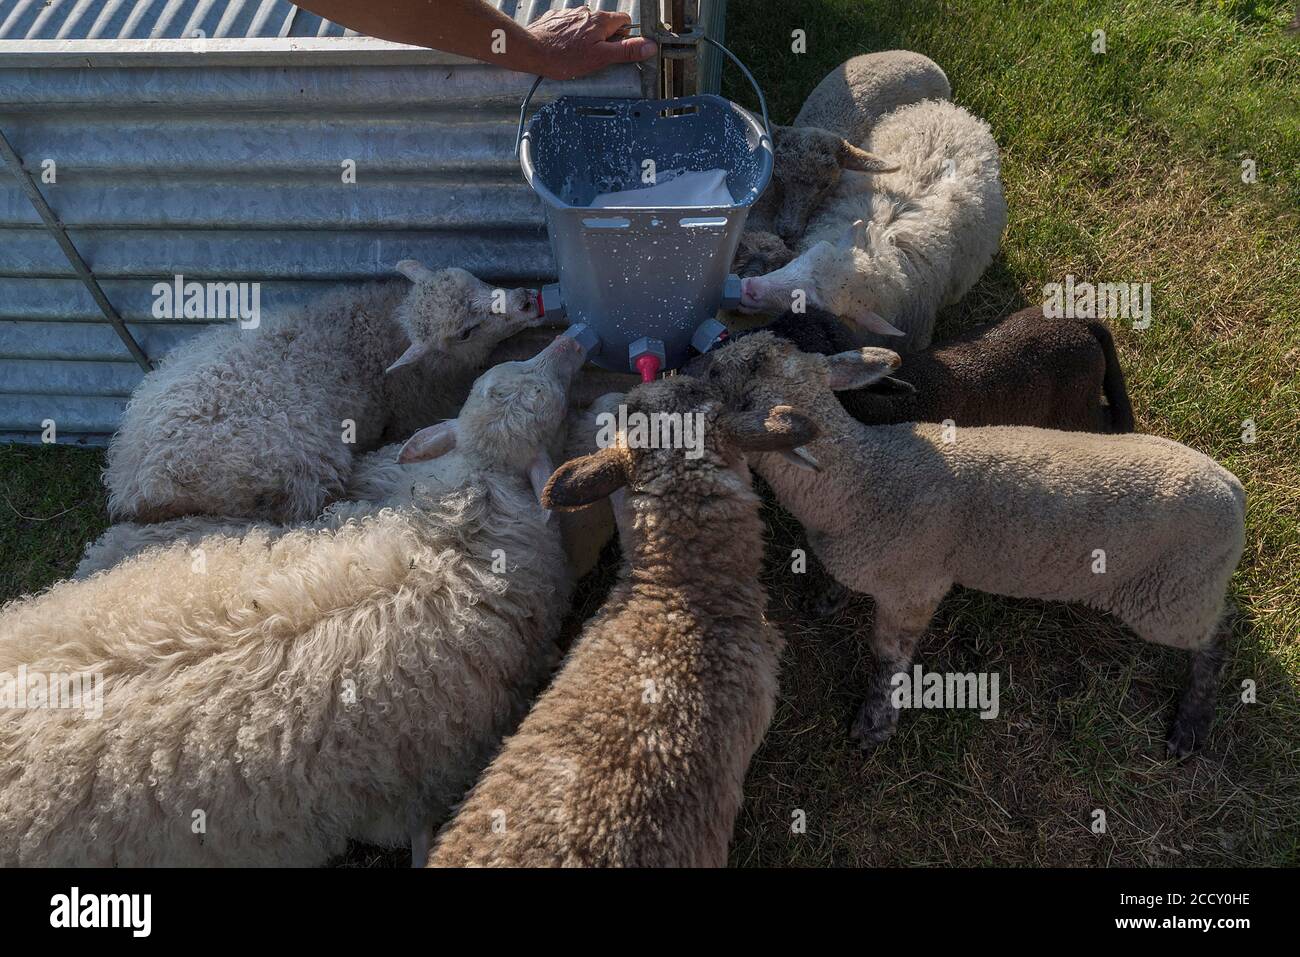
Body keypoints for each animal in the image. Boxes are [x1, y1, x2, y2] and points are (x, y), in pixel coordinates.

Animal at [103, 260, 545, 524]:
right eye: (466, 331)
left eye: (478, 279)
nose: (526, 301)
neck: (382, 332)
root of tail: (134, 478)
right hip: (296, 474)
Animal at [687, 332, 1246, 758]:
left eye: (725, 385)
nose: (693, 362)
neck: (863, 476)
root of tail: (1232, 489)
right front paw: (825, 598)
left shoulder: (916, 587)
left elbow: (889, 657)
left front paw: (875, 723)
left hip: (1172, 592)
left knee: (1216, 640)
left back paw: (1192, 723)